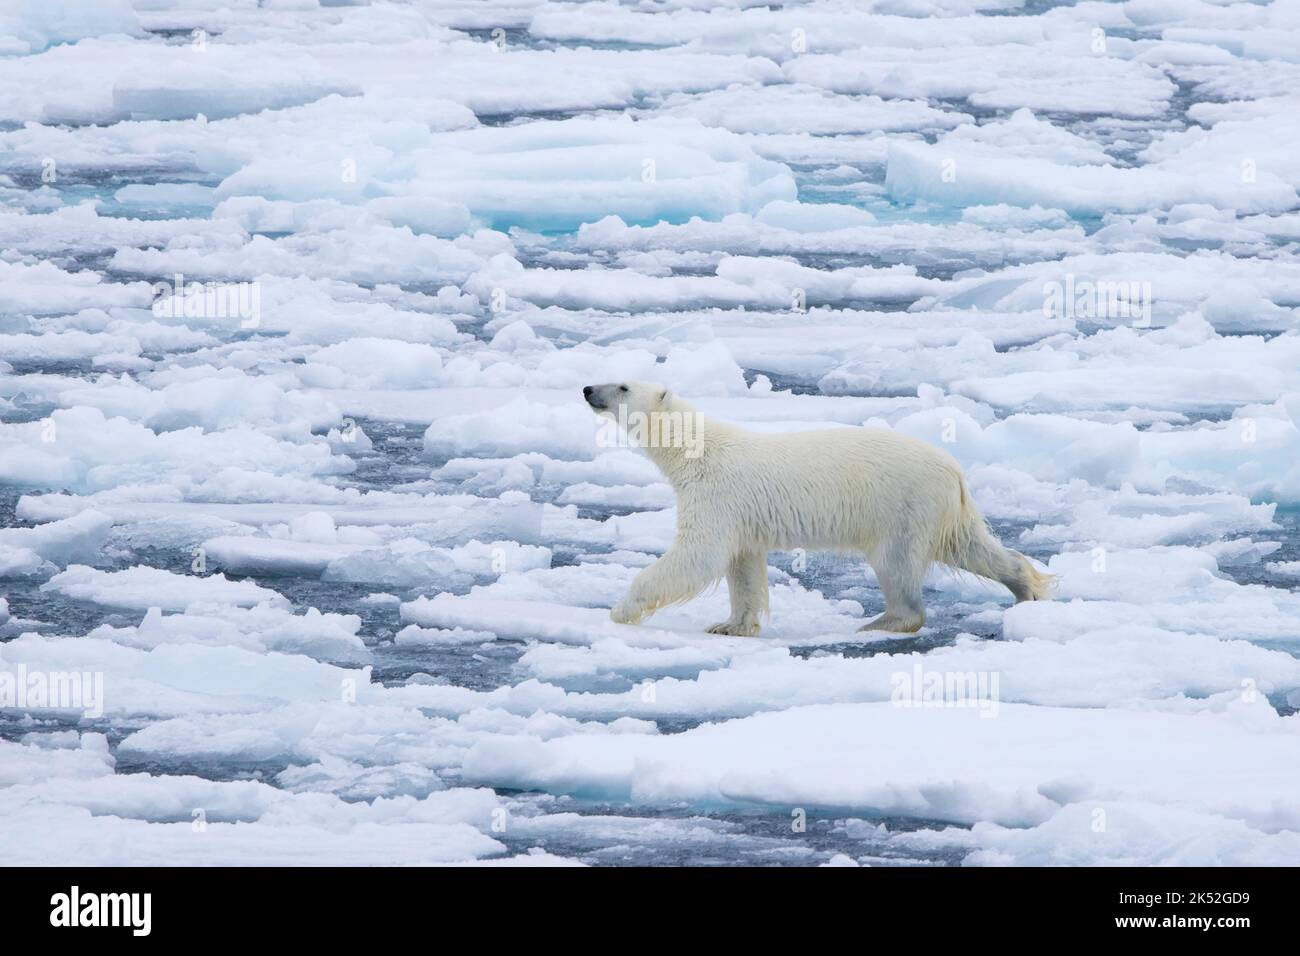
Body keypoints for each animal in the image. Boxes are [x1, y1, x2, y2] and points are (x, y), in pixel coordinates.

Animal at [583, 380, 1053, 635]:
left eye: (623, 386)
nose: (588, 389)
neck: (696, 451)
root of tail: (954, 469)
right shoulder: (742, 516)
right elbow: (743, 568)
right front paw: (731, 625)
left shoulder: (716, 494)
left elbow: (698, 555)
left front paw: (621, 609)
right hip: (940, 509)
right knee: (971, 547)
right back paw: (1028, 587)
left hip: (901, 503)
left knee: (897, 564)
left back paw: (880, 621)